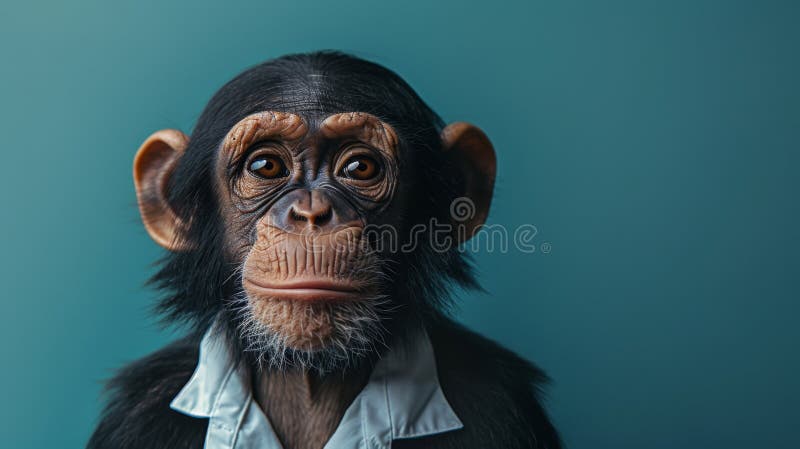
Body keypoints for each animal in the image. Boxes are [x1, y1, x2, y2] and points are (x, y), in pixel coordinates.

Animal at [88, 51, 561, 449]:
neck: (309, 381)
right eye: (266, 166)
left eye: (360, 167)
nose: (312, 213)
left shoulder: (504, 407)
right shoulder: (136, 415)